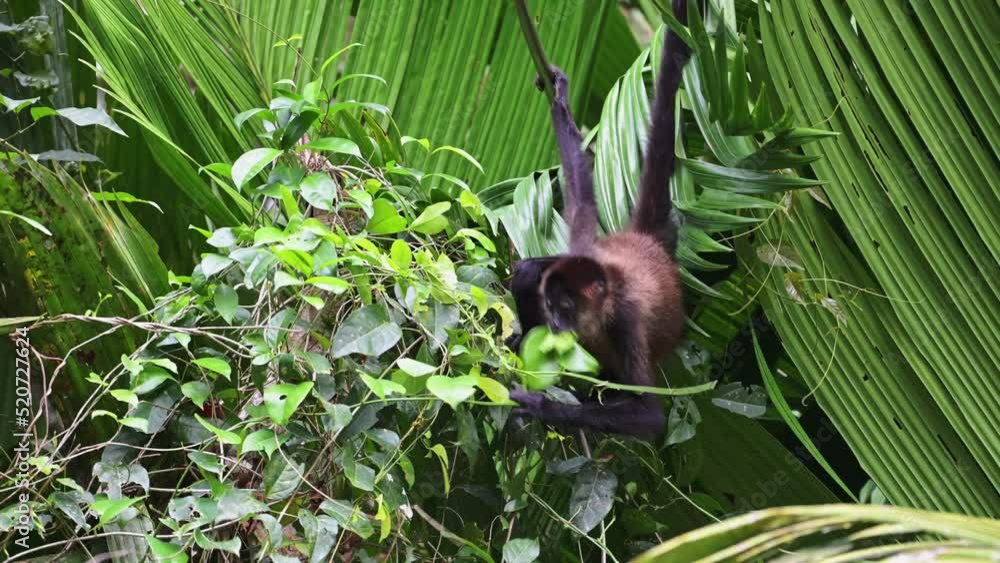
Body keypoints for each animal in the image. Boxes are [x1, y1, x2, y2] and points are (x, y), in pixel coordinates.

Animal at [507, 0, 691, 440]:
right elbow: (580, 197)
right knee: (528, 269)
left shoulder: (626, 320)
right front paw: (560, 97)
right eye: (551, 306)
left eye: (567, 308)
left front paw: (539, 405)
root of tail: (646, 242)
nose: (555, 325)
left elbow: (651, 417)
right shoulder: (581, 249)